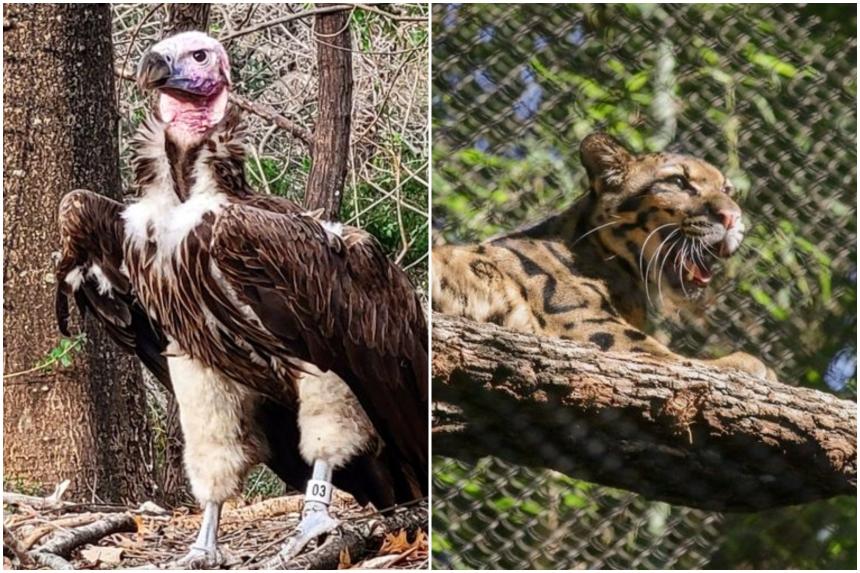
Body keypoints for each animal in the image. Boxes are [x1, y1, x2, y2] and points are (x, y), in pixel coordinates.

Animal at [432, 132, 775, 381]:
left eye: (727, 191)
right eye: (678, 182)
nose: (731, 217)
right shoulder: (605, 335)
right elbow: (685, 363)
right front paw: (754, 365)